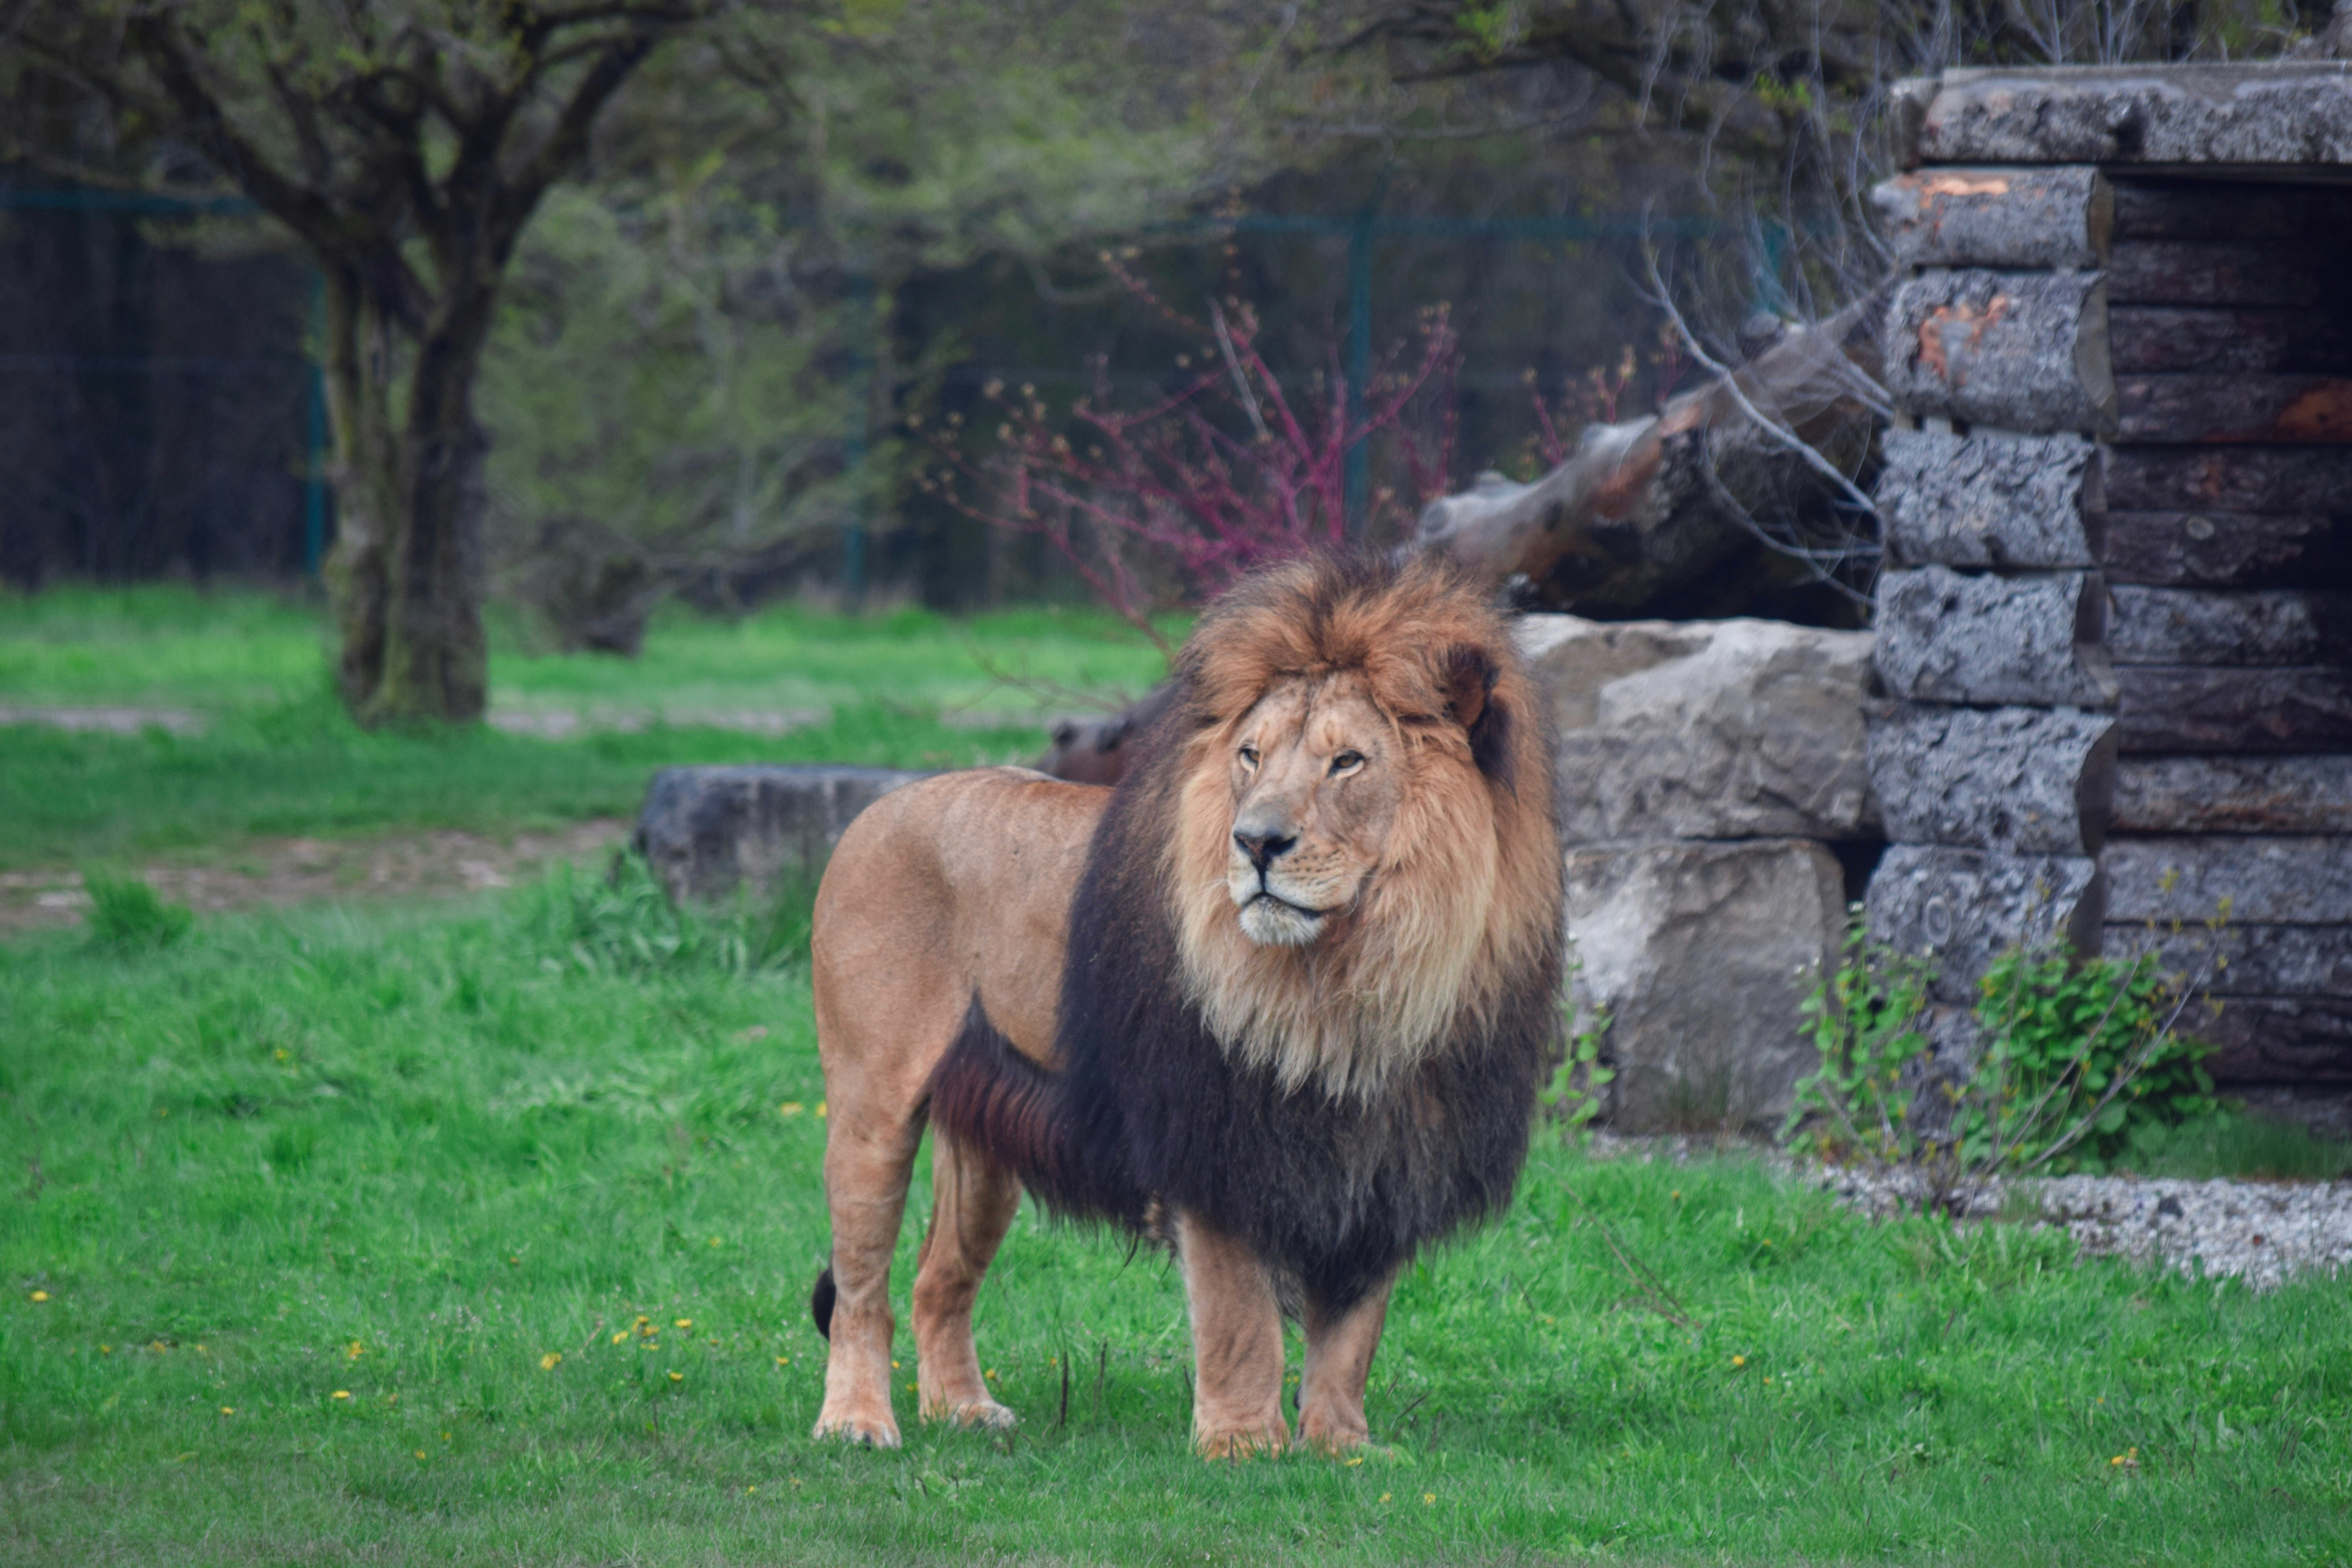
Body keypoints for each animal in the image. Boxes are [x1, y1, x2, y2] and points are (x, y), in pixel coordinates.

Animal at [805, 553, 1564, 1456]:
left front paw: (1341, 1447)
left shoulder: (1388, 1160)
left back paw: (963, 1410)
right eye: (1250, 756)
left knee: (937, 1279)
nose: (1257, 841)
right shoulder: (1213, 1140)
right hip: (871, 1107)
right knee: (862, 1287)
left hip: (984, 1150)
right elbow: (1241, 1319)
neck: (1352, 986)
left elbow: (1353, 1330)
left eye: (1347, 762)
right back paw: (856, 1422)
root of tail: (882, 805)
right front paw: (1241, 1446)